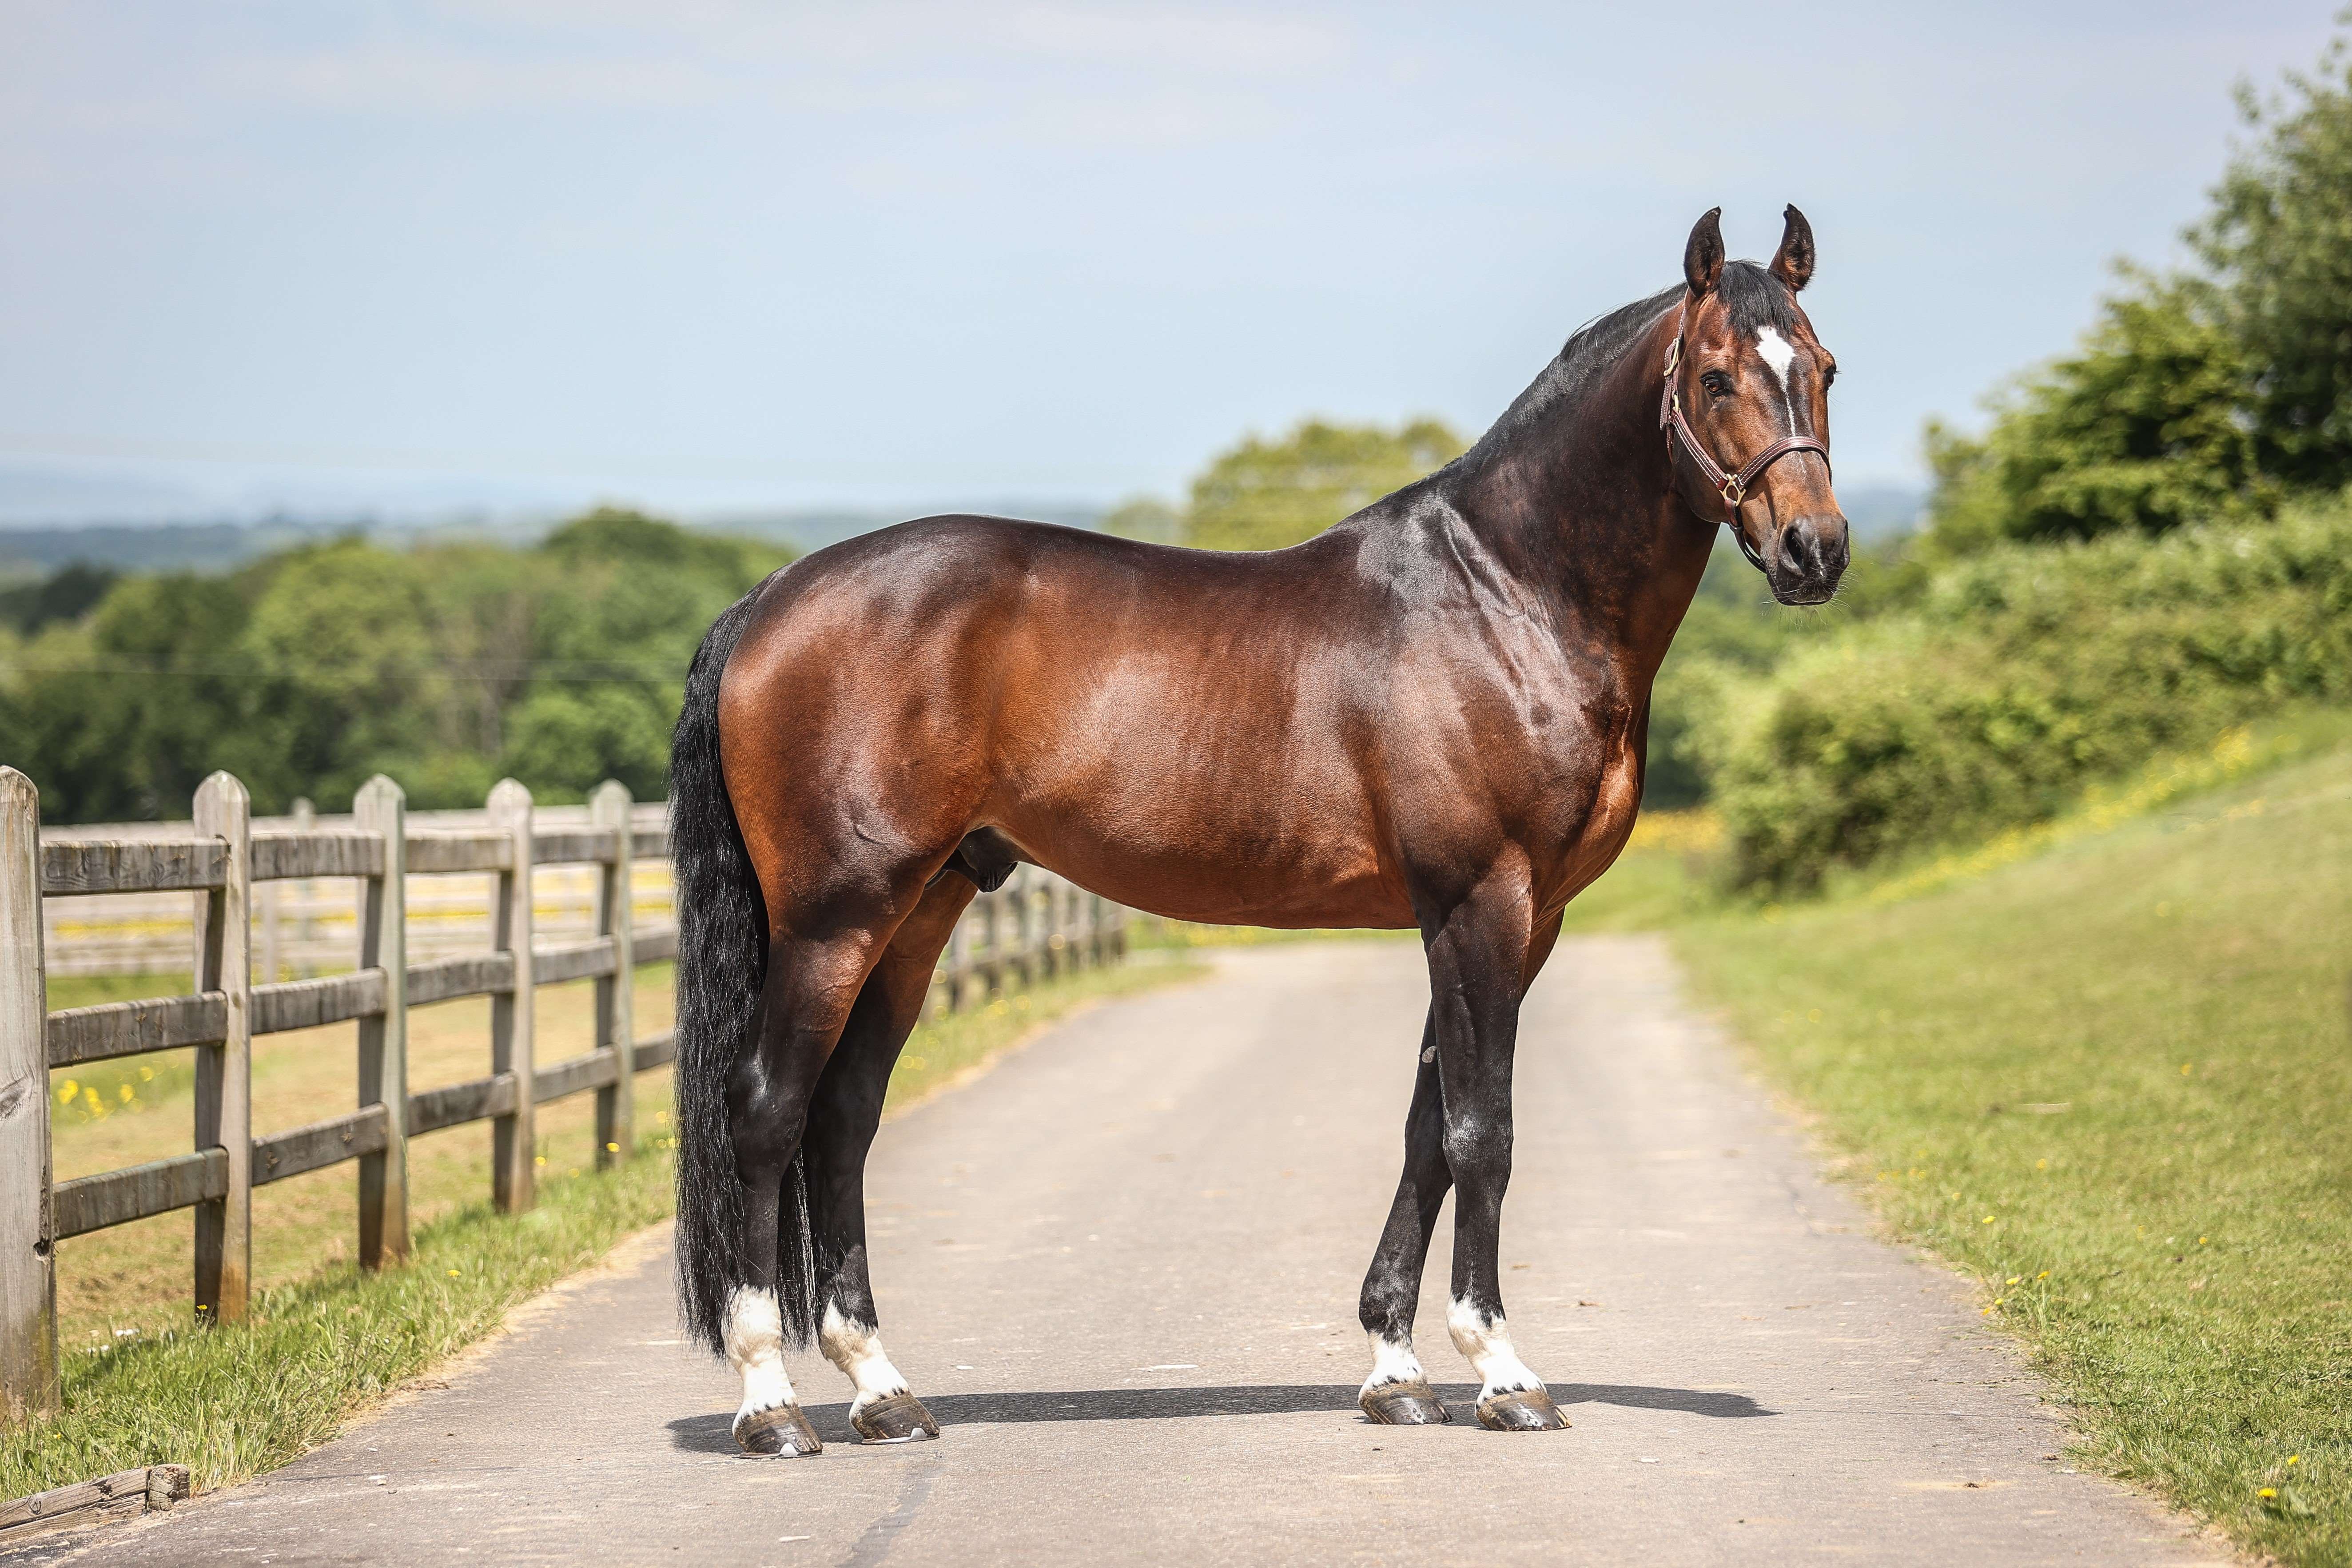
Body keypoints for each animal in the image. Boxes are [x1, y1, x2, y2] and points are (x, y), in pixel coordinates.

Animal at [667, 206, 1847, 1456]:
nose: (1815, 551)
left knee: (843, 1119)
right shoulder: (1481, 899)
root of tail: (768, 599)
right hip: (834, 917)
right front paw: (1502, 1372)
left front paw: (1395, 1368)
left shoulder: (1518, 919)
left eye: (1822, 368)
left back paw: (882, 1389)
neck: (1510, 594)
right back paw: (769, 1401)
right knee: (766, 1114)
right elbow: (1482, 1130)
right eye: (1716, 375)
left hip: (920, 906)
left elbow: (1427, 1127)